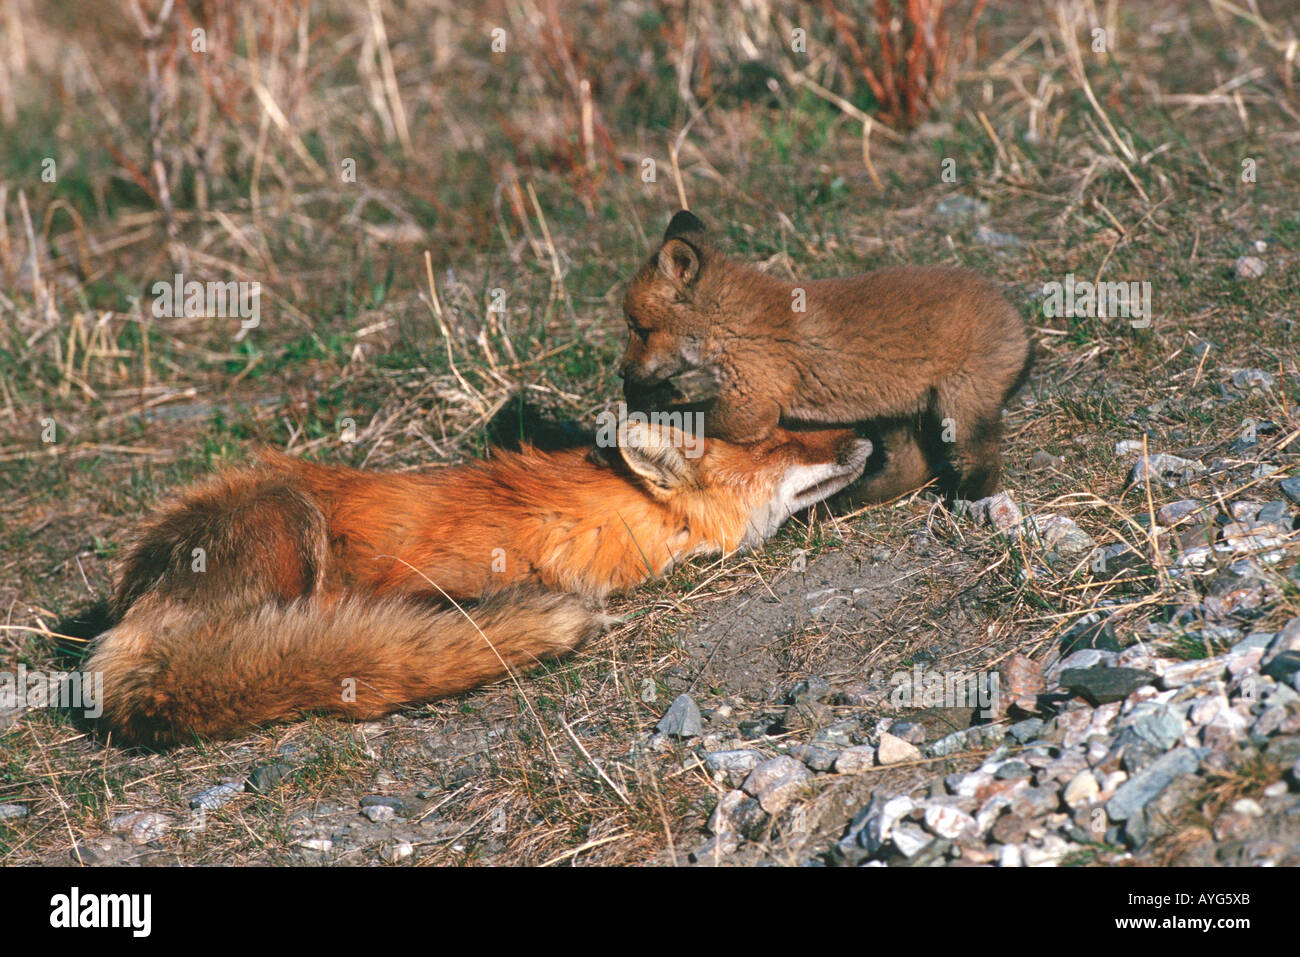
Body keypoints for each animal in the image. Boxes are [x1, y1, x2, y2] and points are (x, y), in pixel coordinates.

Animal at [619, 210, 1034, 502]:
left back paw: (970, 499)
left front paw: (646, 406)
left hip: (960, 404)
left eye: (640, 330)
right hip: (894, 412)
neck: (733, 325)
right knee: (910, 471)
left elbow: (691, 414)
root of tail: (1015, 316)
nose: (622, 373)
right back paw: (843, 502)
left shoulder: (752, 406)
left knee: (982, 462)